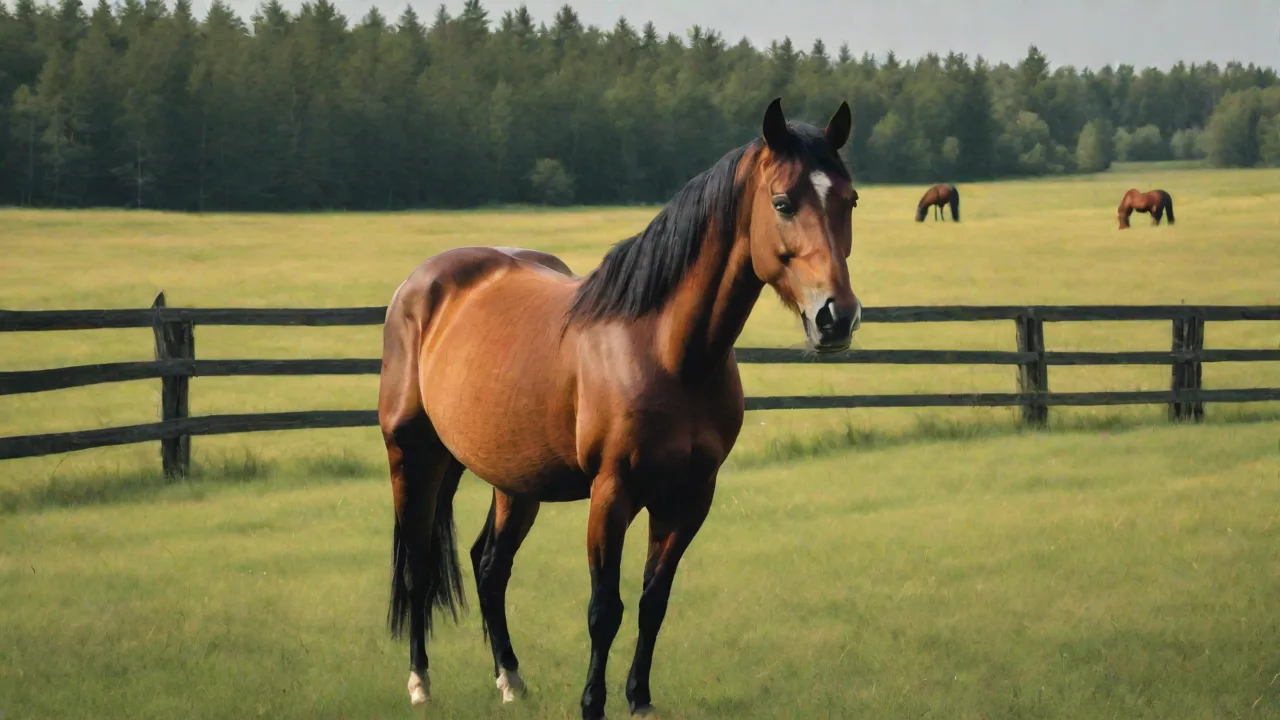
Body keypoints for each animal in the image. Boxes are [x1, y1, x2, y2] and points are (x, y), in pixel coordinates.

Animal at [377, 97, 861, 720]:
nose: (836, 318)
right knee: (418, 567)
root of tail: (420, 285)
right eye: (782, 202)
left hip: (513, 480)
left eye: (849, 200)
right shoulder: (612, 493)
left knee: (490, 566)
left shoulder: (689, 497)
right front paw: (592, 703)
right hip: (414, 457)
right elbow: (604, 608)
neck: (665, 348)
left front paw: (640, 700)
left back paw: (510, 679)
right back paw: (420, 682)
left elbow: (654, 600)